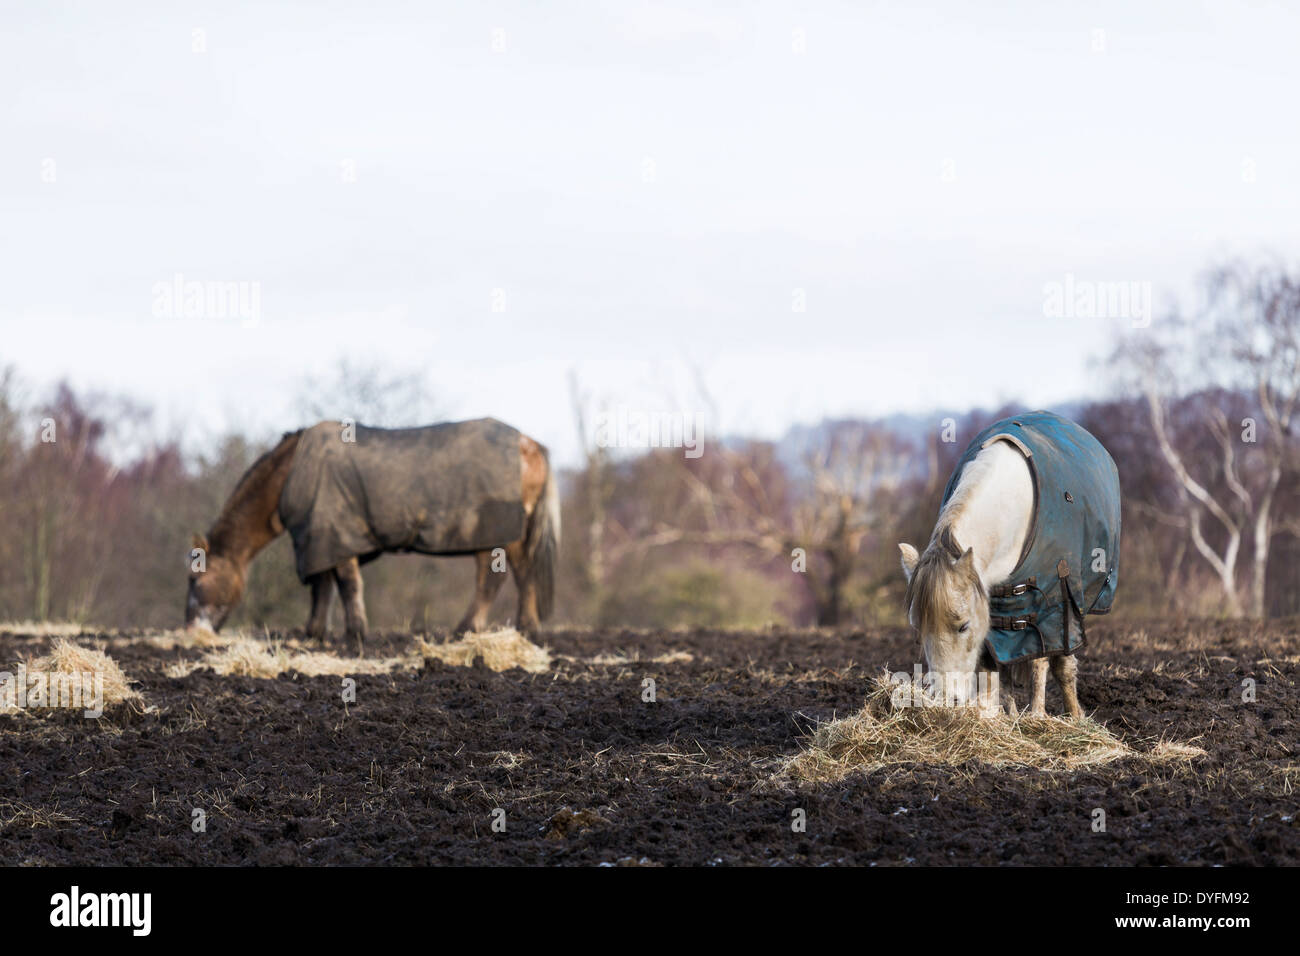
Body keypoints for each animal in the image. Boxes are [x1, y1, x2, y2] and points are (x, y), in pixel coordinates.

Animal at [185, 418, 560, 650]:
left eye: (195, 578)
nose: (190, 629)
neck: (291, 473)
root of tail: (531, 444)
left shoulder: (336, 535)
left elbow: (347, 586)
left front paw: (356, 633)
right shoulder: (320, 540)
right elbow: (323, 587)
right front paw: (315, 632)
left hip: (497, 532)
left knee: (501, 578)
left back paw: (475, 628)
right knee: (513, 575)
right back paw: (519, 628)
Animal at [898, 411, 1121, 717]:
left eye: (963, 626)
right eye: (918, 630)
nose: (945, 700)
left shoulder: (1050, 605)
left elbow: (1045, 661)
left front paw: (1041, 716)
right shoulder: (993, 605)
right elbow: (991, 667)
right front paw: (990, 714)